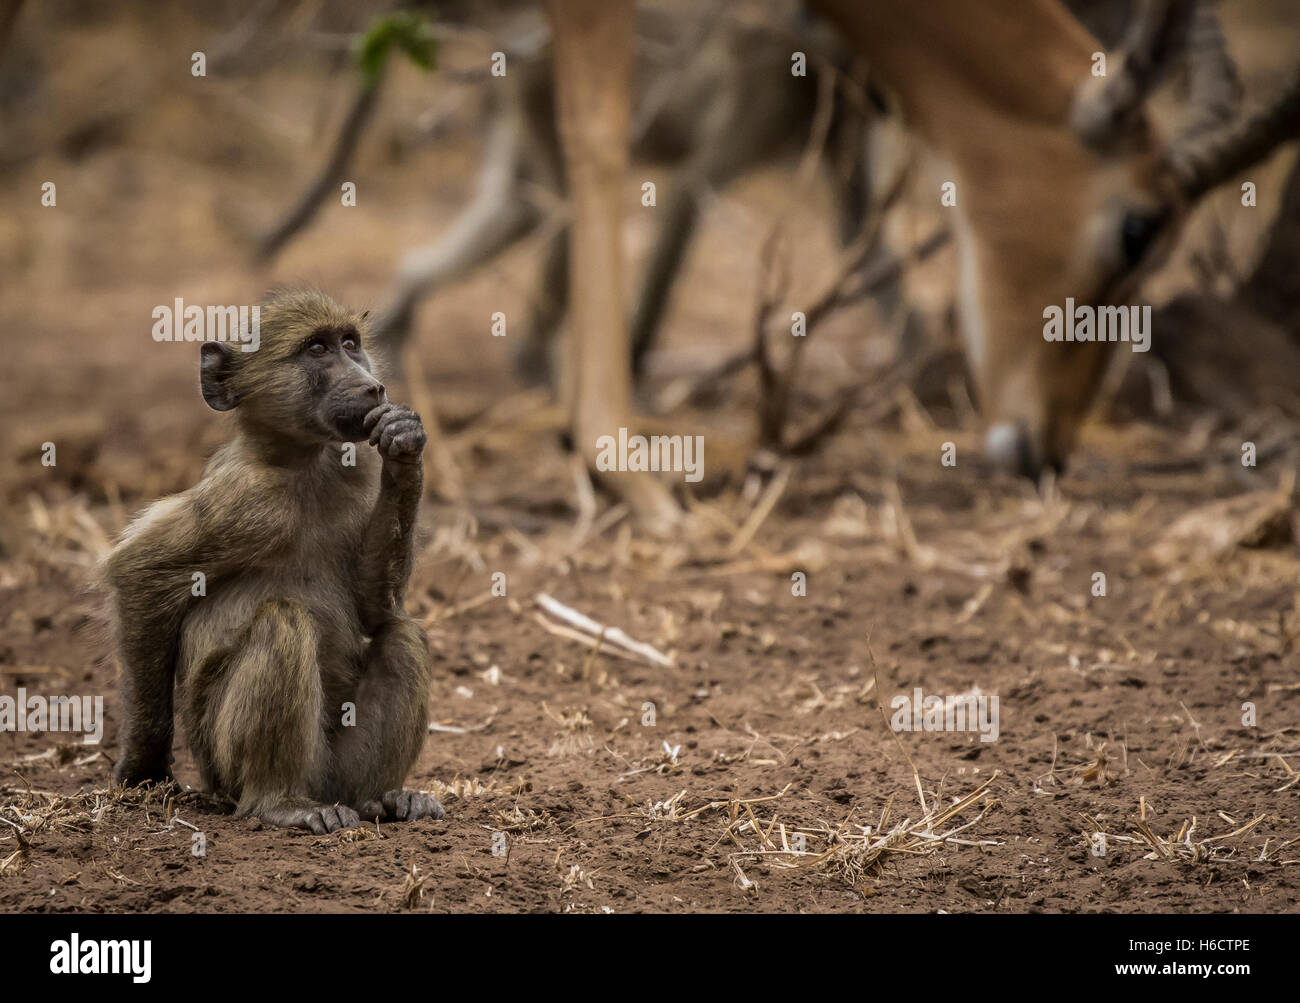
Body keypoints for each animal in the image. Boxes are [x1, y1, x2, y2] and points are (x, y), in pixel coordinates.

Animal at [104, 289, 443, 833]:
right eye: (317, 350)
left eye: (351, 344)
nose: (372, 387)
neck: (305, 462)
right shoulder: (241, 497)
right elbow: (139, 572)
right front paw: (142, 767)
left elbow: (376, 610)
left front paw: (405, 444)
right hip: (228, 766)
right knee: (282, 622)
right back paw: (279, 803)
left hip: (337, 770)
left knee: (402, 635)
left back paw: (384, 801)